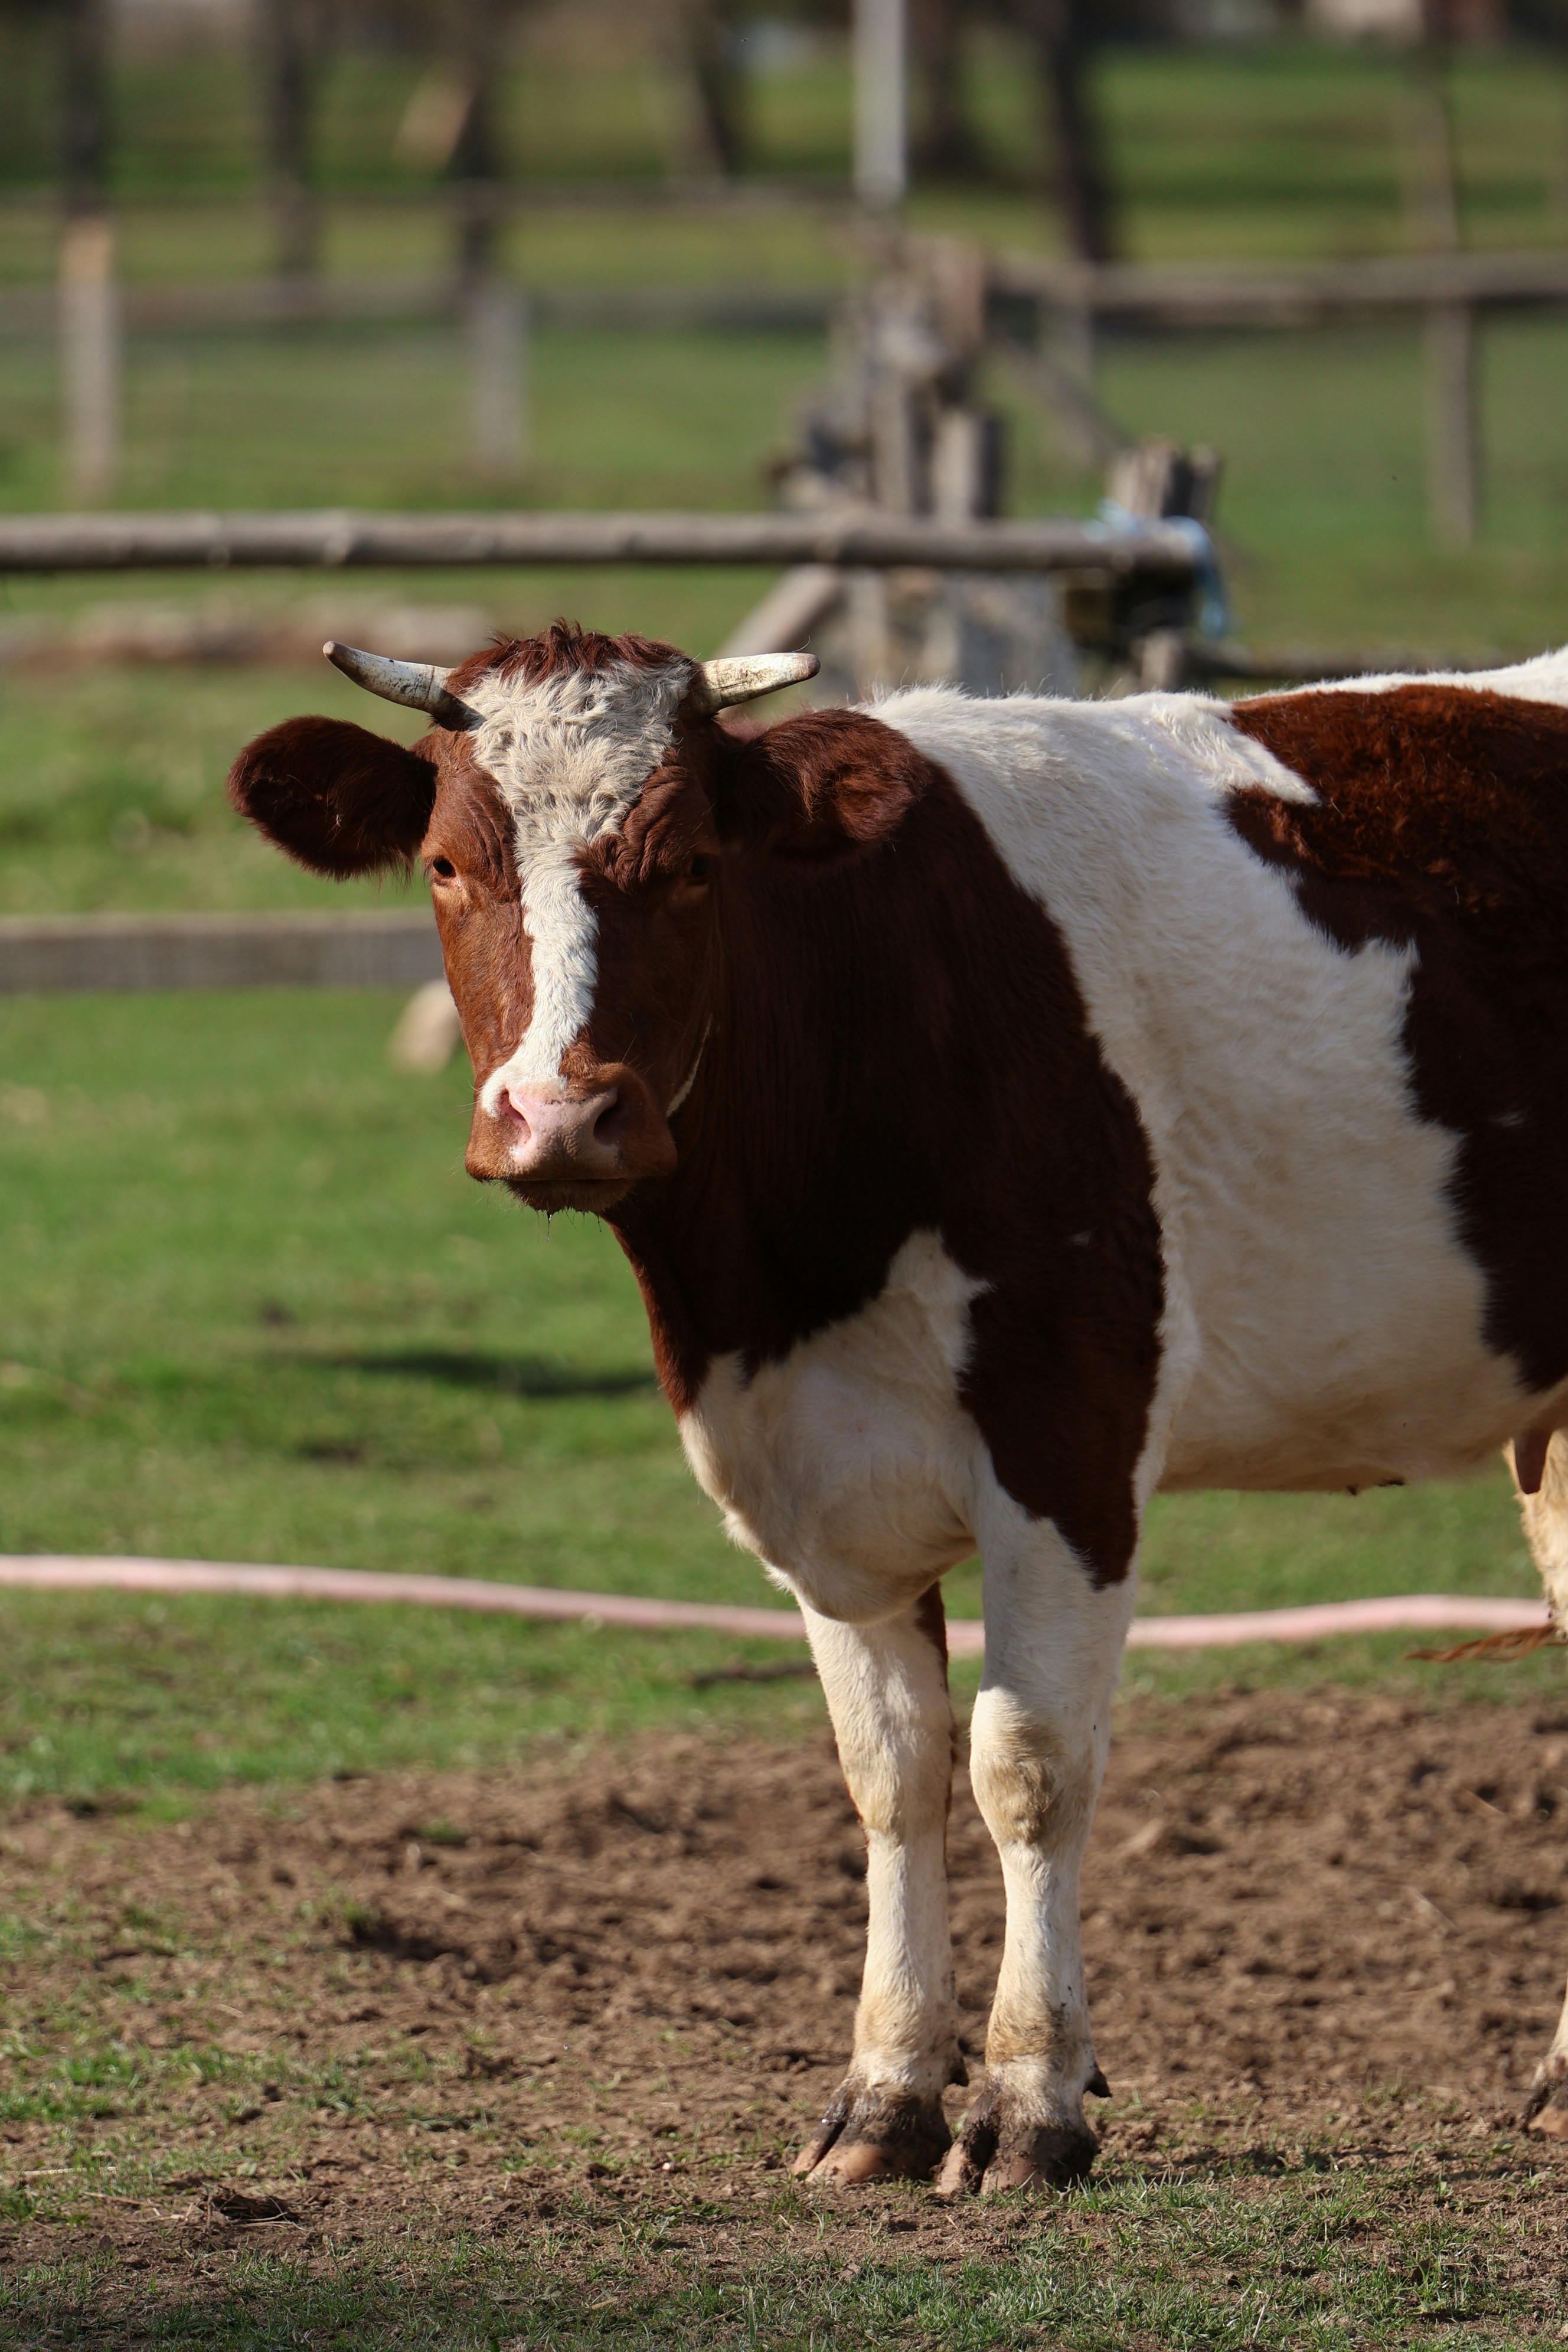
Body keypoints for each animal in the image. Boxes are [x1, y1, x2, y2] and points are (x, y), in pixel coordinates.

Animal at [227, 622, 1568, 2188]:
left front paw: (1032, 2102)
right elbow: (891, 1772)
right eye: (445, 863)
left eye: (692, 862)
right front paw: (883, 2094)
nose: (561, 1117)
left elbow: (1025, 1765)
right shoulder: (812, 1477)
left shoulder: (1070, 1433)